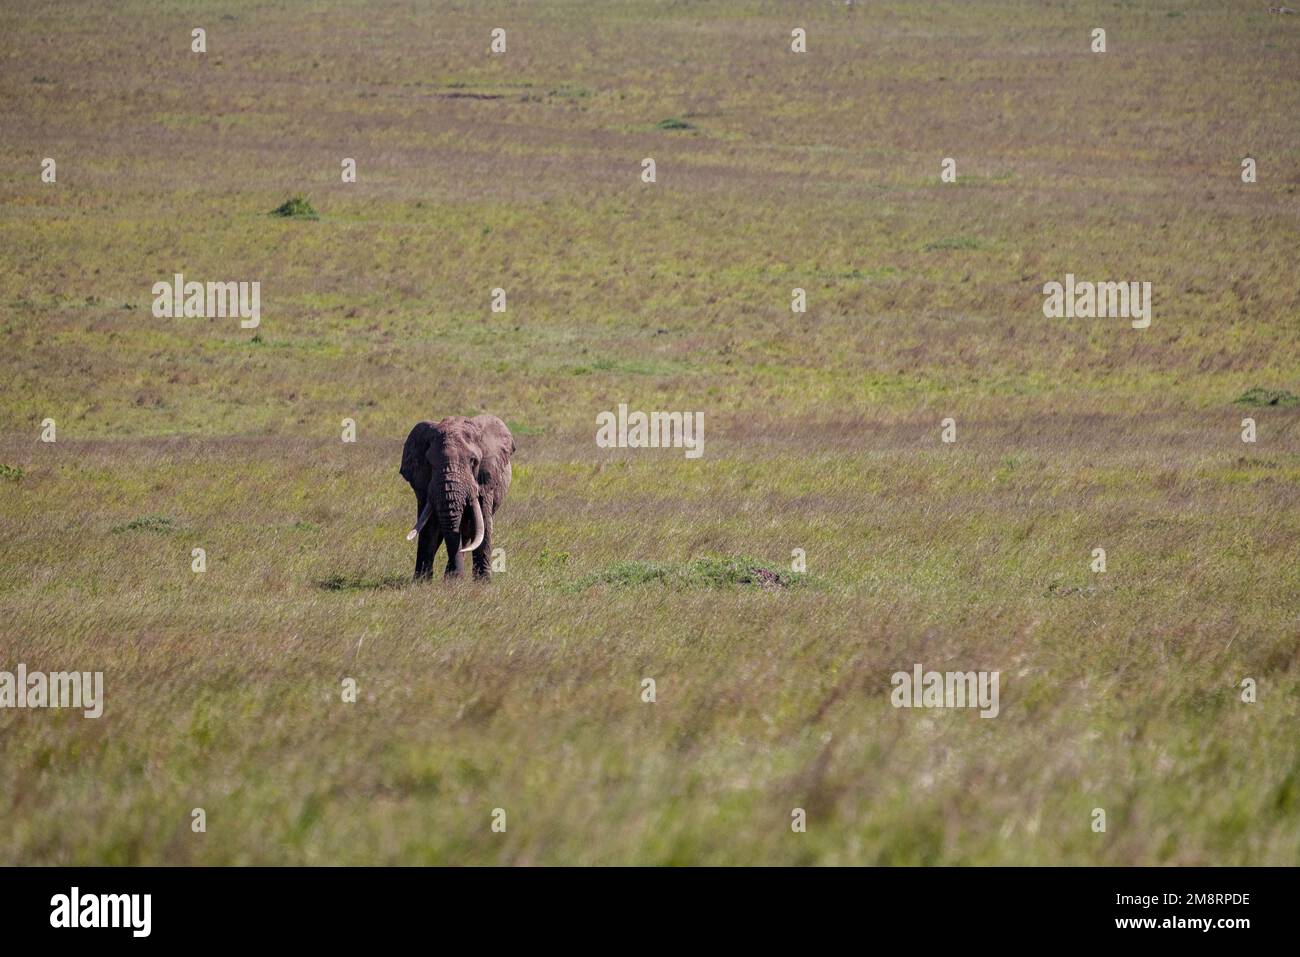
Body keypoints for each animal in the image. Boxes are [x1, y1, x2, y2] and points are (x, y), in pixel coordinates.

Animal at [400, 415, 514, 581]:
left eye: (473, 461)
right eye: (429, 463)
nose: (455, 577)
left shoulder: (485, 480)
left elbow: (483, 522)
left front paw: (482, 583)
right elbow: (429, 526)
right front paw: (422, 582)